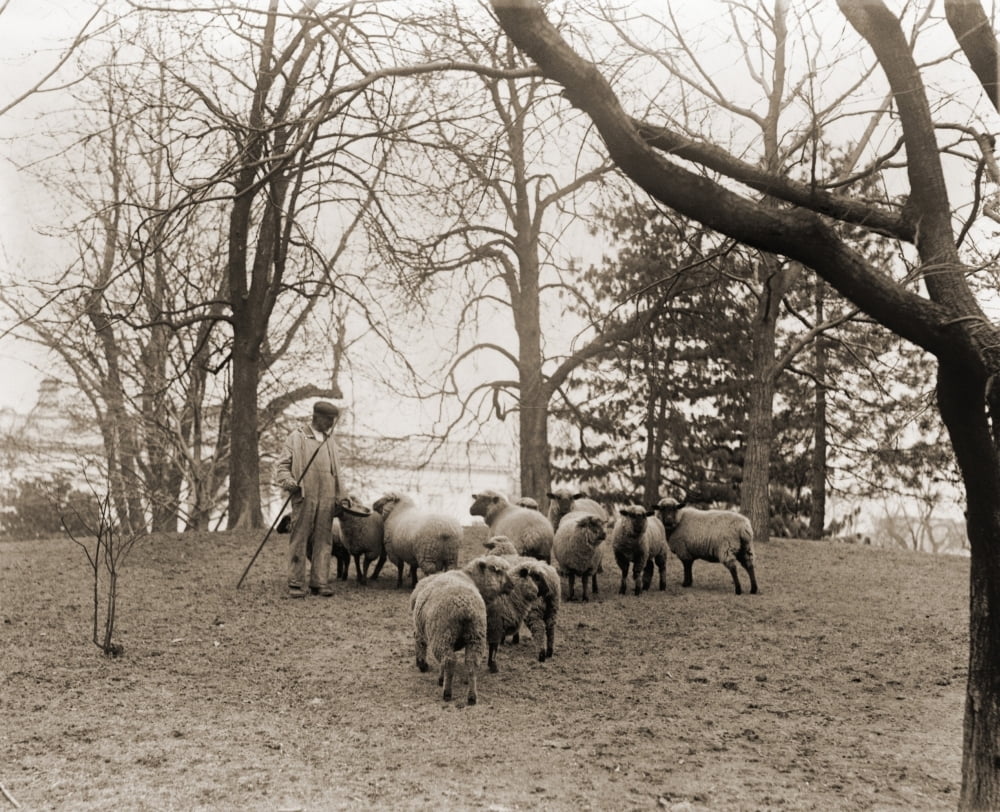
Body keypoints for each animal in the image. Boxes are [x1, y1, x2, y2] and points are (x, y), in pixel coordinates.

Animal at [409, 555, 514, 704]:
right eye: (497, 571)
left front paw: (437, 676)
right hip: (473, 635)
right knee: (471, 663)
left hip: (442, 634)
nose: (512, 585)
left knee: (447, 660)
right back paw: (471, 696)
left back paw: (446, 692)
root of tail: (465, 608)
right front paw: (440, 677)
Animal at [482, 536, 561, 664]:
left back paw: (541, 654)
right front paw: (514, 639)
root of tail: (551, 581)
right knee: (550, 628)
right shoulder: (514, 605)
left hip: (535, 609)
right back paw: (550, 651)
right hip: (553, 607)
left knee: (539, 629)